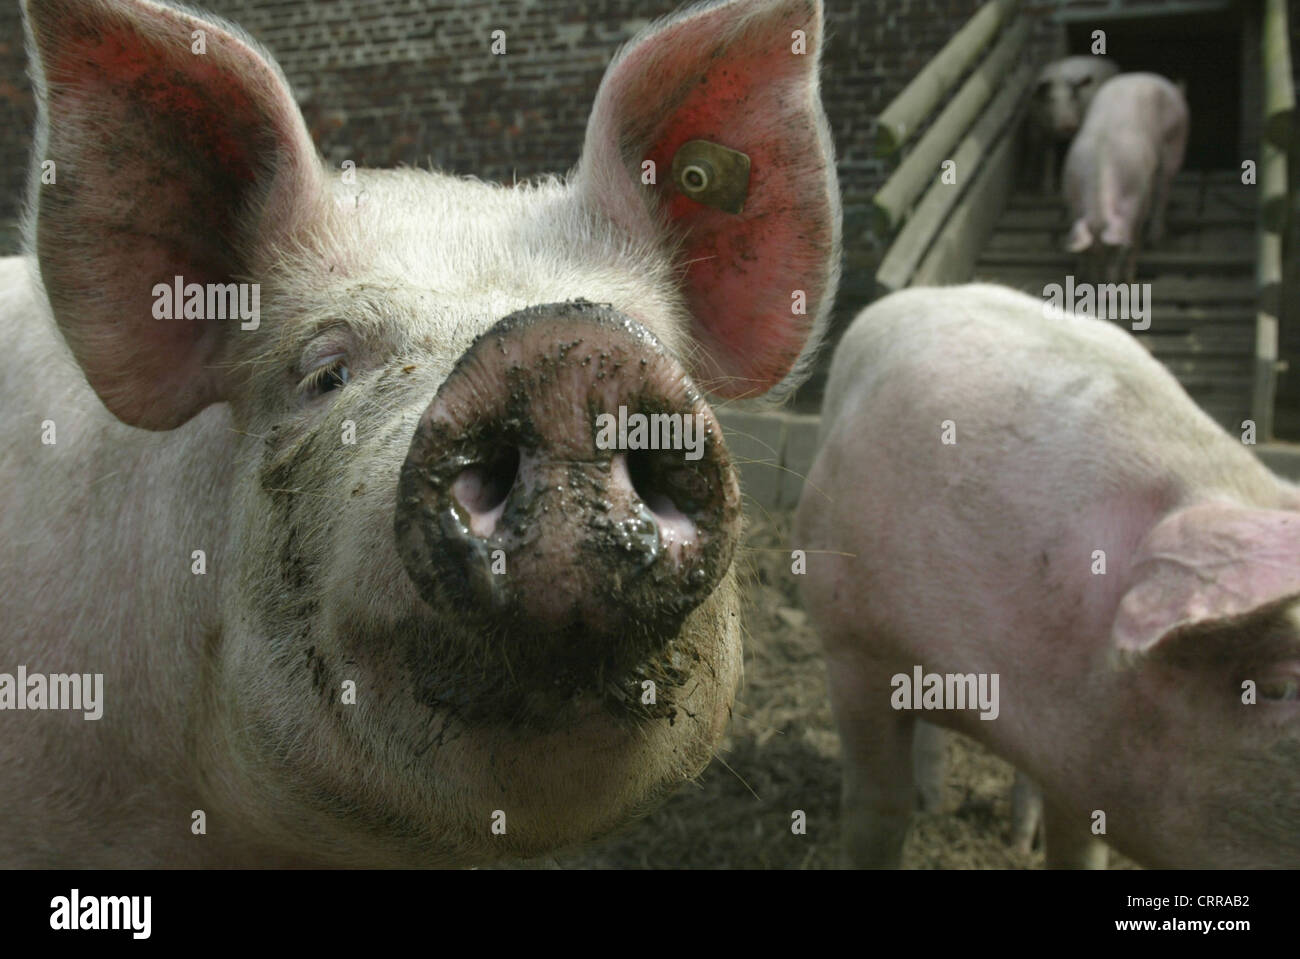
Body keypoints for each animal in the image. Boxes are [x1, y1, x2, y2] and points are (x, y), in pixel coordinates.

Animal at [796, 283, 1300, 869]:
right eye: (1280, 687)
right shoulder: (851, 648)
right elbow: (876, 809)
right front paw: (909, 810)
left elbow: (1077, 844)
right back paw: (933, 801)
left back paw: (1019, 839)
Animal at [1026, 55, 1119, 194]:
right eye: (1050, 99)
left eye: (1073, 96)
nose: (1068, 125)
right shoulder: (1043, 130)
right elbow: (1049, 156)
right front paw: (1047, 188)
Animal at [1063, 72, 1188, 284]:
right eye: (1091, 254)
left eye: (1115, 252)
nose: (1100, 289)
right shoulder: (1073, 201)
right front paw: (1080, 275)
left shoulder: (1139, 197)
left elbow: (1135, 239)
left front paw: (1130, 278)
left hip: (1176, 141)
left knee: (1164, 188)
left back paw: (1155, 239)